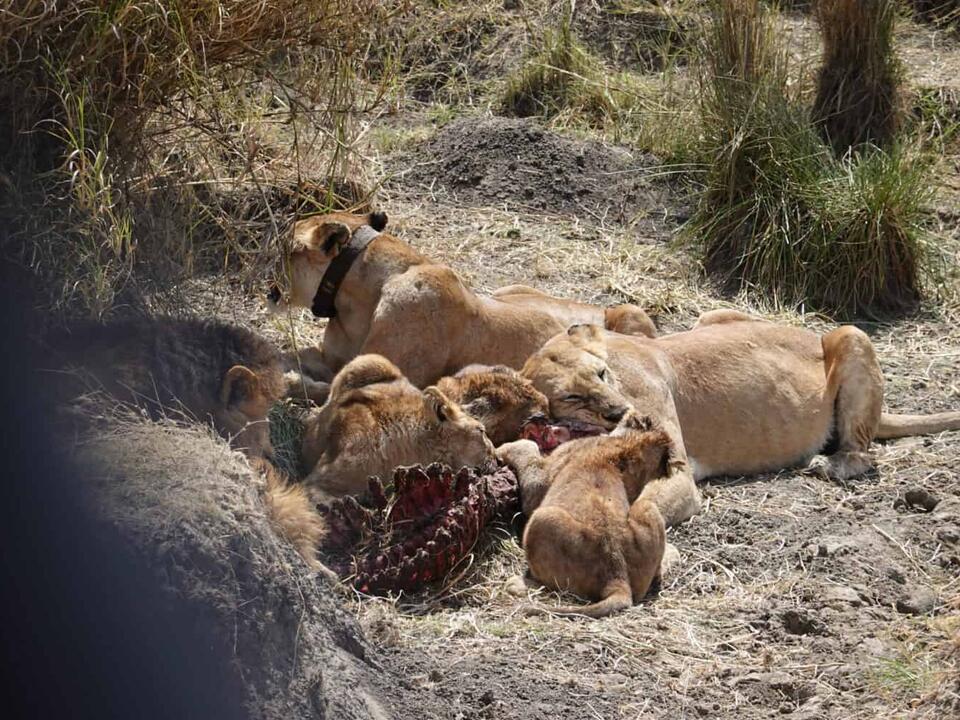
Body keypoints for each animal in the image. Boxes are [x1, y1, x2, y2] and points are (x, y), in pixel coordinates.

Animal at [266, 210, 655, 387]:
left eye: (283, 248)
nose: (267, 284)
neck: (350, 305)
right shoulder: (331, 356)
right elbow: (295, 355)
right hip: (506, 290)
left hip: (631, 313)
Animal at [497, 410, 671, 618]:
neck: (629, 448)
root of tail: (616, 575)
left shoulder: (539, 482)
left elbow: (526, 448)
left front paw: (498, 448)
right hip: (648, 507)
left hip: (543, 518)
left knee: (551, 585)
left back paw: (516, 583)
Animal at [520, 313, 960, 529]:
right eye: (572, 397)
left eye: (601, 374)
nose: (618, 413)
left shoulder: (680, 472)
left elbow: (648, 506)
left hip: (853, 335)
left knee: (861, 452)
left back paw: (827, 465)